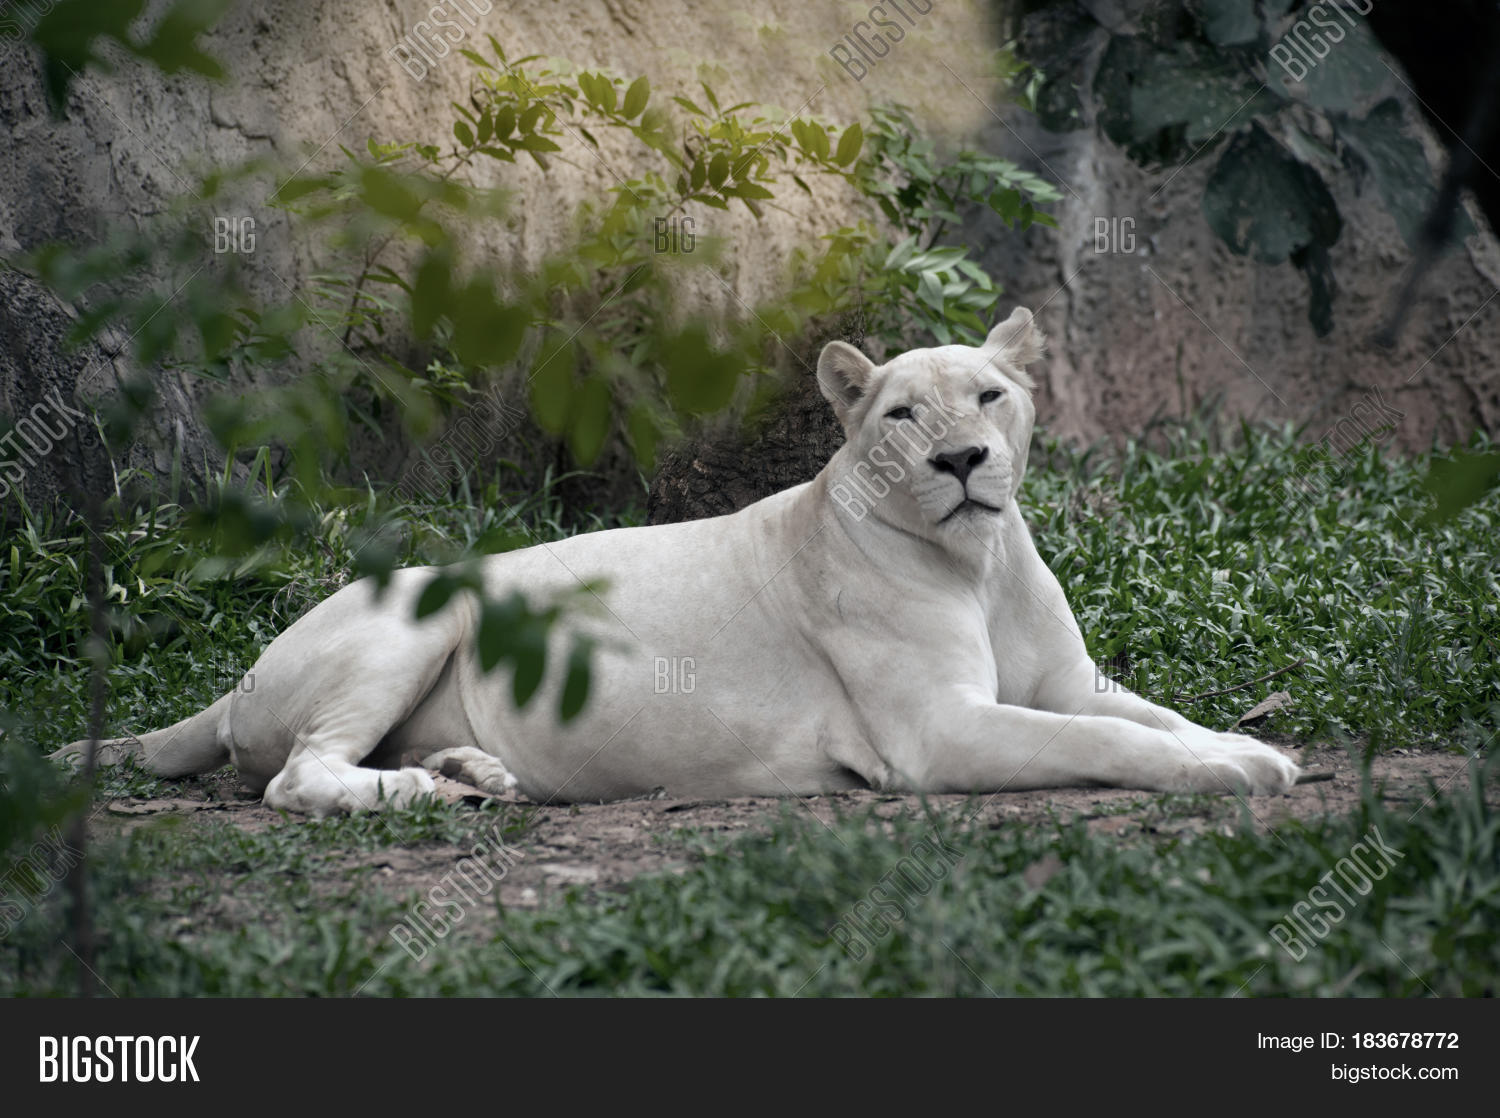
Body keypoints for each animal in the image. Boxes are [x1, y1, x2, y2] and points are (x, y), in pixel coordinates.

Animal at [54, 308, 1300, 814]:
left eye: (991, 394)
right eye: (902, 413)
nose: (961, 458)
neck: (978, 559)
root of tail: (237, 681)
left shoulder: (1066, 680)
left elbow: (1151, 714)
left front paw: (1250, 746)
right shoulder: (937, 731)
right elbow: (1106, 742)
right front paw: (1228, 771)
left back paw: (477, 770)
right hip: (409, 614)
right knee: (297, 775)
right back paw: (425, 789)